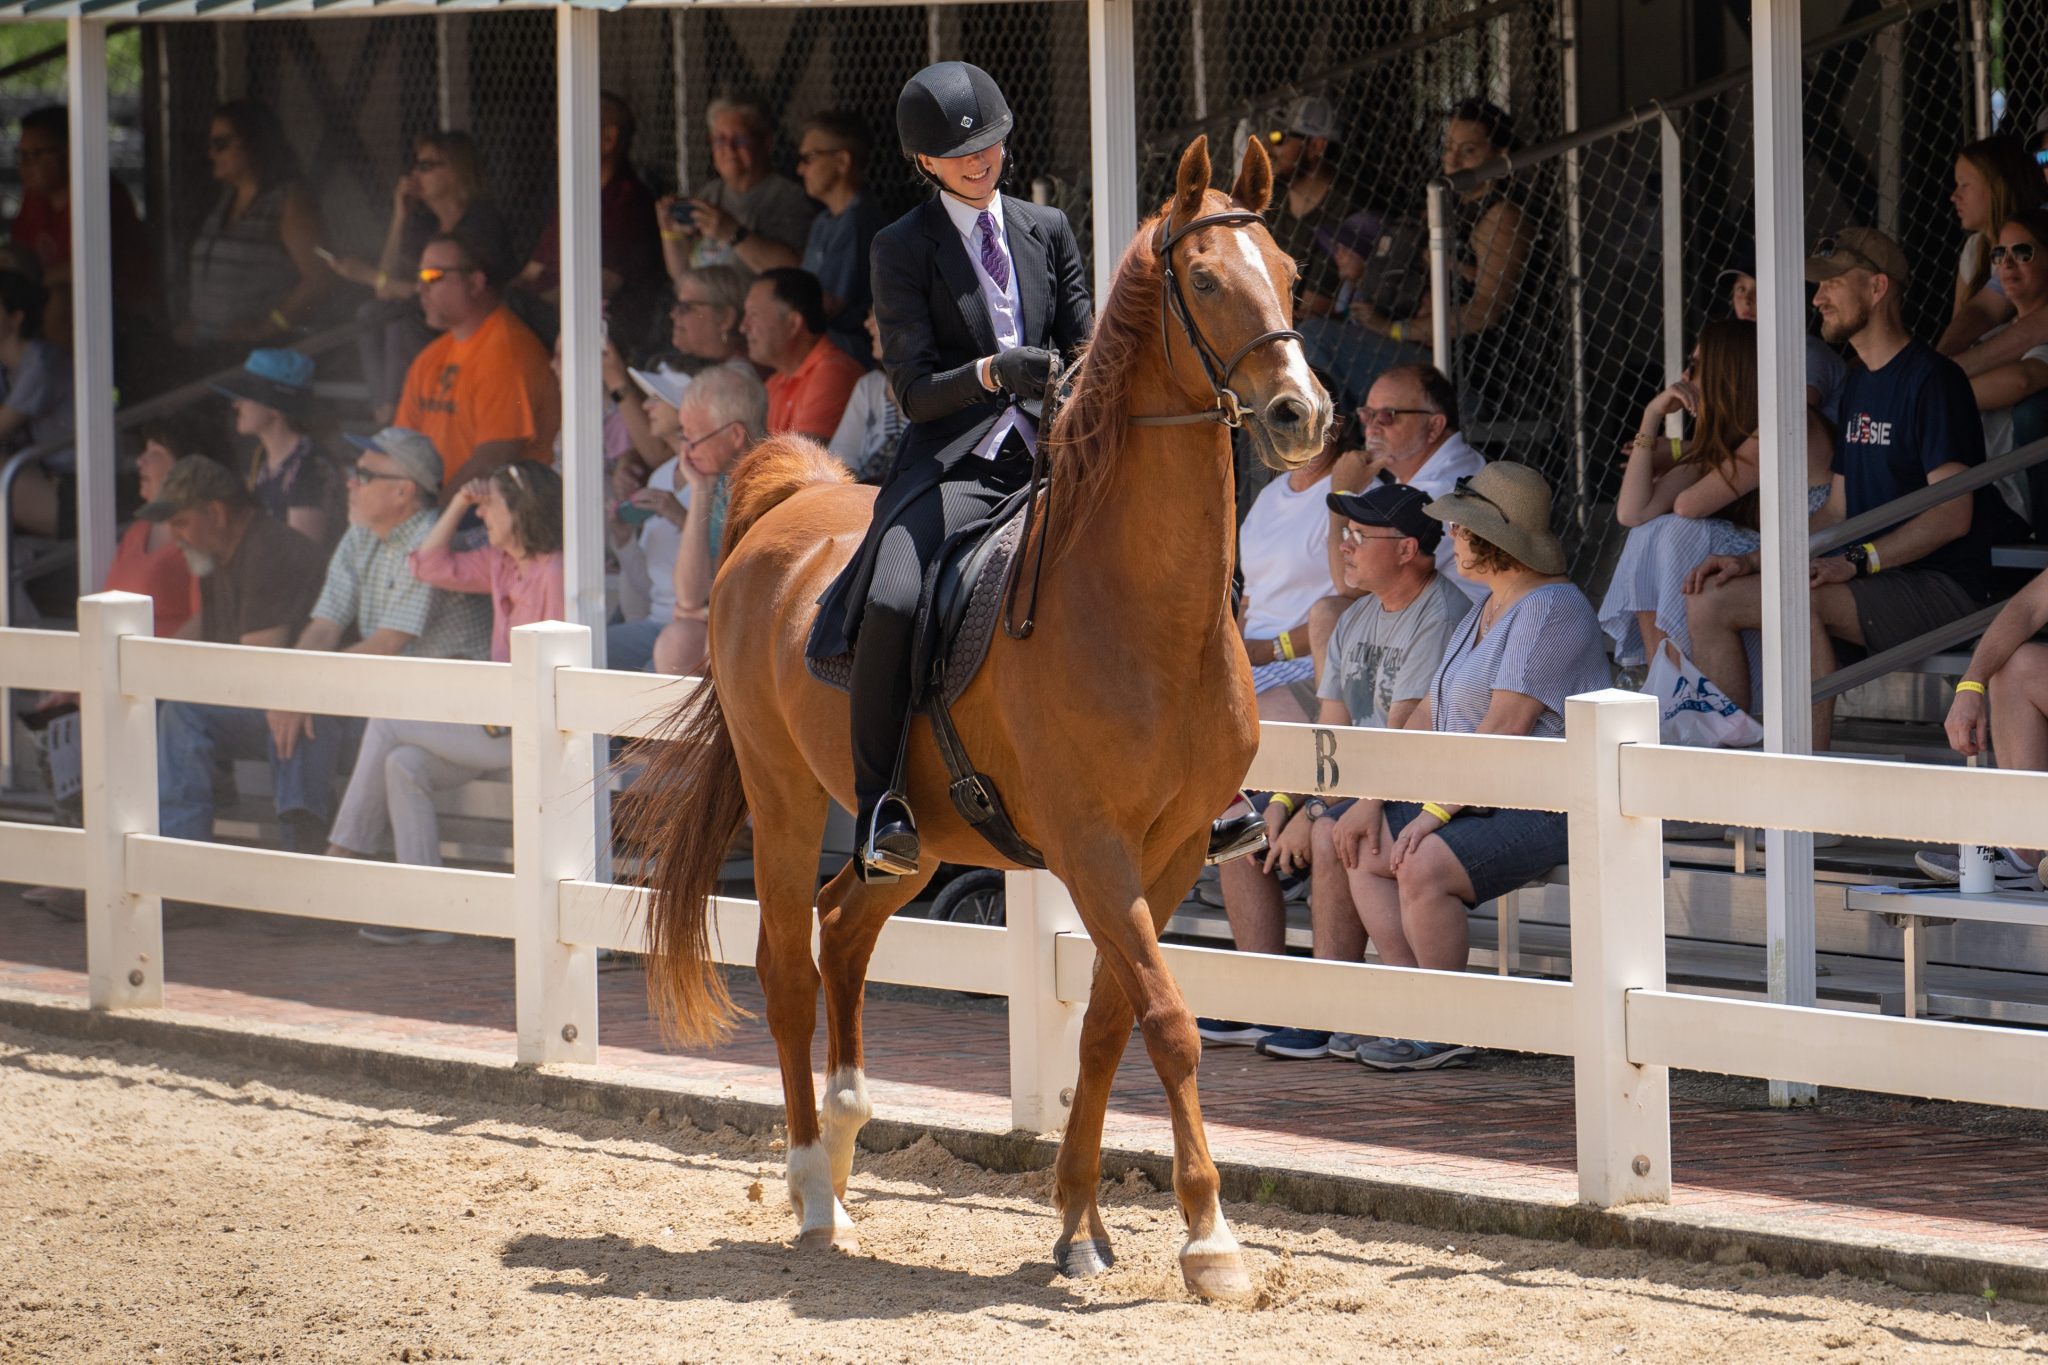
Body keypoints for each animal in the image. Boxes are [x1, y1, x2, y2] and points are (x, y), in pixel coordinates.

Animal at [630, 134, 1328, 1301]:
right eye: (1201, 280)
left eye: (1289, 272)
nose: (1300, 416)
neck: (1141, 607)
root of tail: (792, 500)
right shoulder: (1092, 847)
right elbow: (1171, 1022)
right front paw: (1209, 1241)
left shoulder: (1176, 847)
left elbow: (1106, 1029)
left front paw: (1079, 1226)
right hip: (782, 798)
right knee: (787, 967)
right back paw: (813, 1191)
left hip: (912, 834)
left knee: (843, 926)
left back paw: (849, 1143)